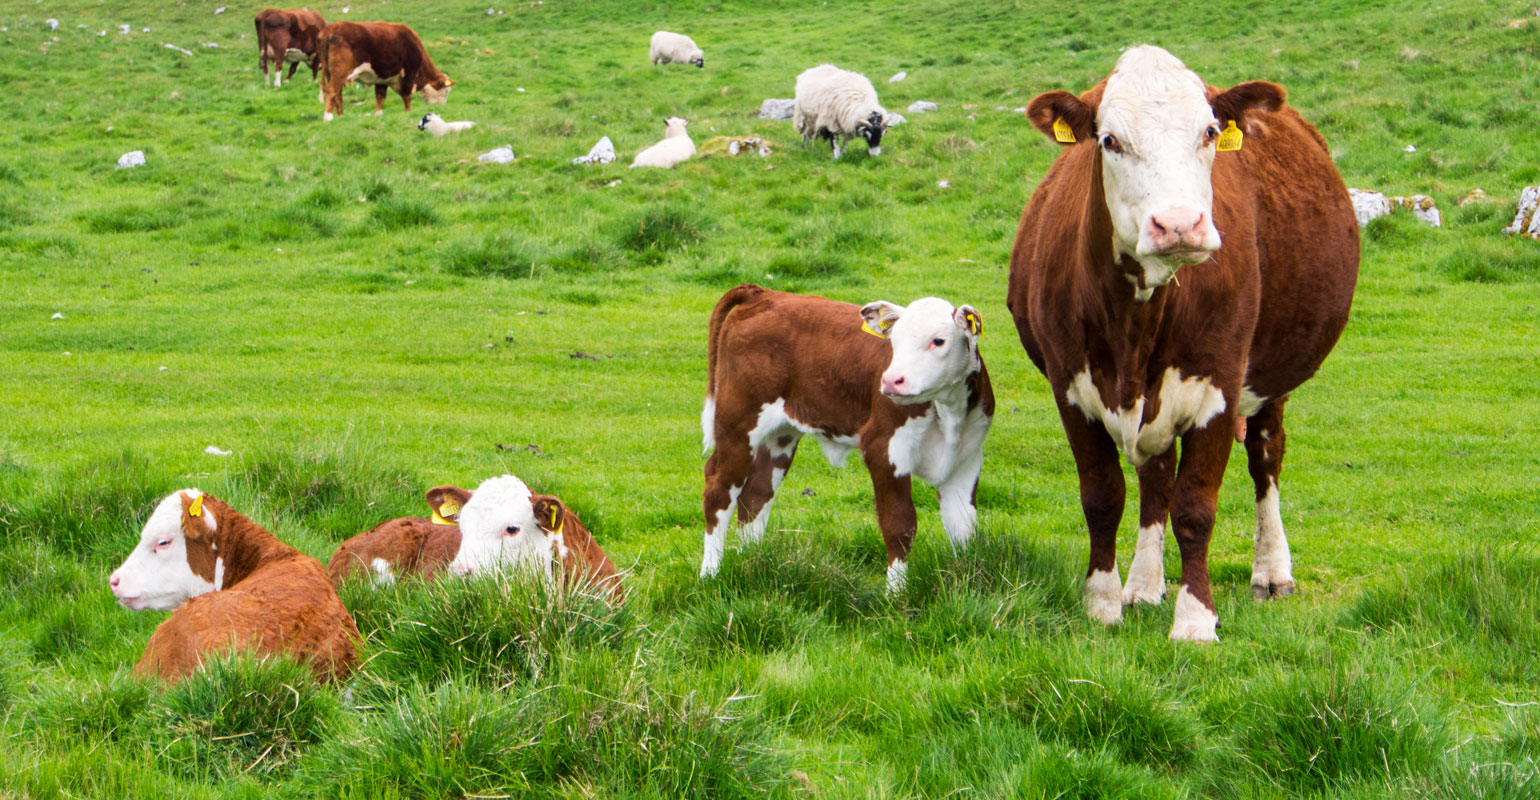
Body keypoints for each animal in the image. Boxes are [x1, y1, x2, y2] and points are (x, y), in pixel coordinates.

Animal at [316, 21, 454, 121]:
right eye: (446, 91)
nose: (442, 107)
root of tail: (331, 28)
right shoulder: (409, 74)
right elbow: (407, 95)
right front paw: (408, 112)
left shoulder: (382, 78)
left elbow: (380, 97)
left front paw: (377, 114)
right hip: (340, 72)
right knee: (331, 90)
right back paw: (328, 116)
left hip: (330, 73)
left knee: (337, 93)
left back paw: (341, 116)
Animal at [700, 284, 994, 593]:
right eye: (894, 341)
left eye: (938, 340)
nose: (891, 381)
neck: (947, 413)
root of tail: (765, 293)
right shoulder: (885, 447)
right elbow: (899, 523)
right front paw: (896, 594)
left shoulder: (966, 459)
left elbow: (962, 525)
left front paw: (966, 581)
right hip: (737, 424)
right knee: (719, 492)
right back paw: (711, 573)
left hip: (780, 435)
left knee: (755, 494)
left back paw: (753, 561)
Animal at [1006, 45, 1359, 641]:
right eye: (1109, 140)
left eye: (1209, 132)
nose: (1178, 224)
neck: (1134, 322)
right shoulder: (1069, 388)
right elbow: (1103, 497)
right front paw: (1102, 604)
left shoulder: (1218, 386)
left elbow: (1196, 507)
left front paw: (1195, 620)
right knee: (1155, 479)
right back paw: (1144, 585)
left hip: (1270, 378)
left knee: (1266, 457)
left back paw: (1271, 571)